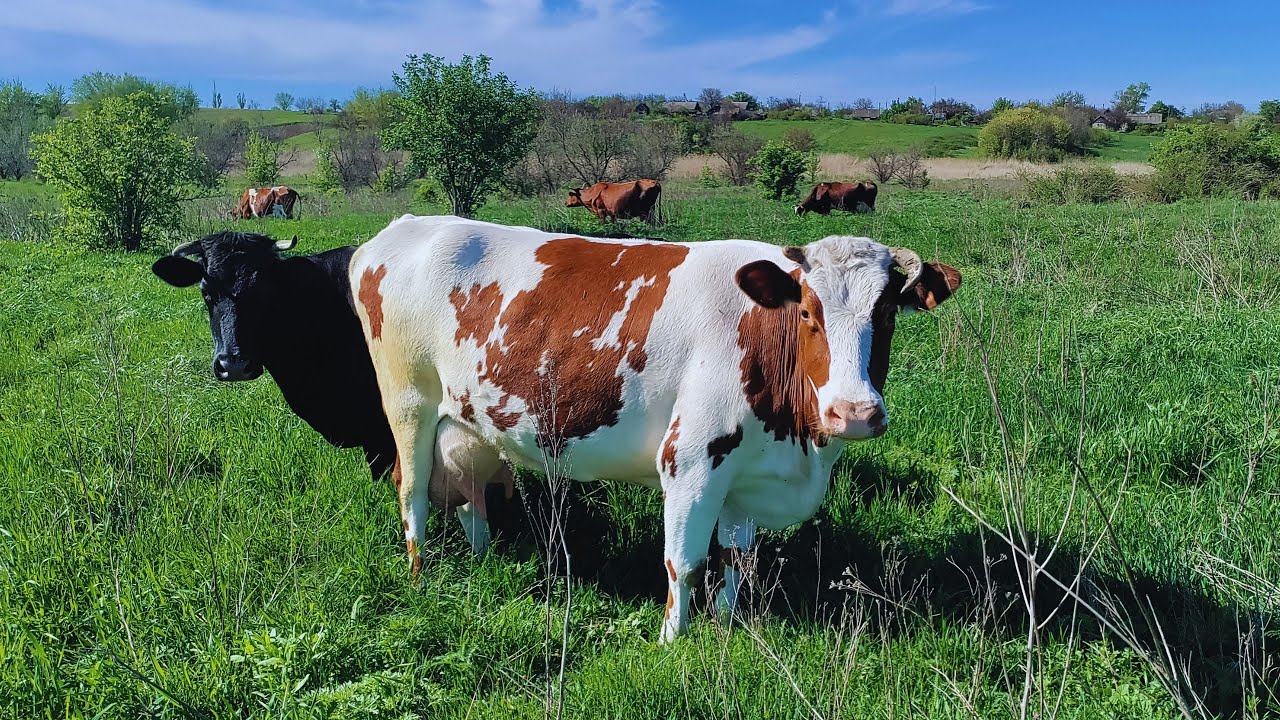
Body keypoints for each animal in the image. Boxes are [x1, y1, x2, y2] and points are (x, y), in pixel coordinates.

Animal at [349, 215, 961, 642]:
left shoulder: (745, 474)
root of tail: (401, 229)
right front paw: (673, 639)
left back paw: (481, 562)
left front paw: (725, 627)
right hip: (408, 401)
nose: (853, 413)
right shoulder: (690, 461)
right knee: (411, 488)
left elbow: (735, 561)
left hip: (468, 422)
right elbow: (683, 562)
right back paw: (420, 576)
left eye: (888, 314)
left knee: (470, 493)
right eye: (808, 312)